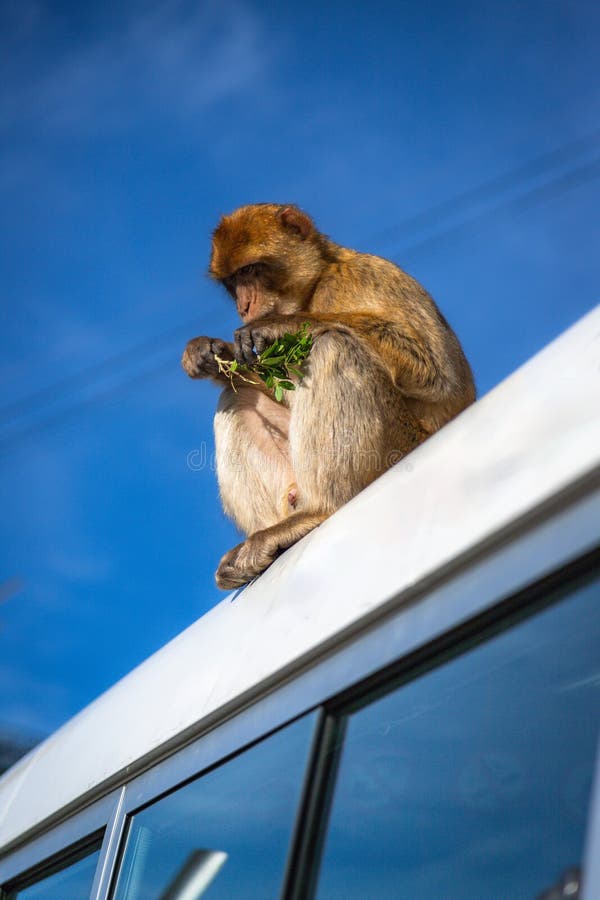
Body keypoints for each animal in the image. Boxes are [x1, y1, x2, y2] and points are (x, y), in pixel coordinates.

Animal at [182, 203, 475, 590]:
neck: (317, 284)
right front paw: (209, 352)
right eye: (233, 282)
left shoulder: (367, 277)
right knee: (238, 399)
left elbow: (441, 376)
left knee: (334, 345)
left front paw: (280, 326)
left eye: (250, 270)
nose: (244, 306)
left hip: (396, 448)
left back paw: (320, 510)